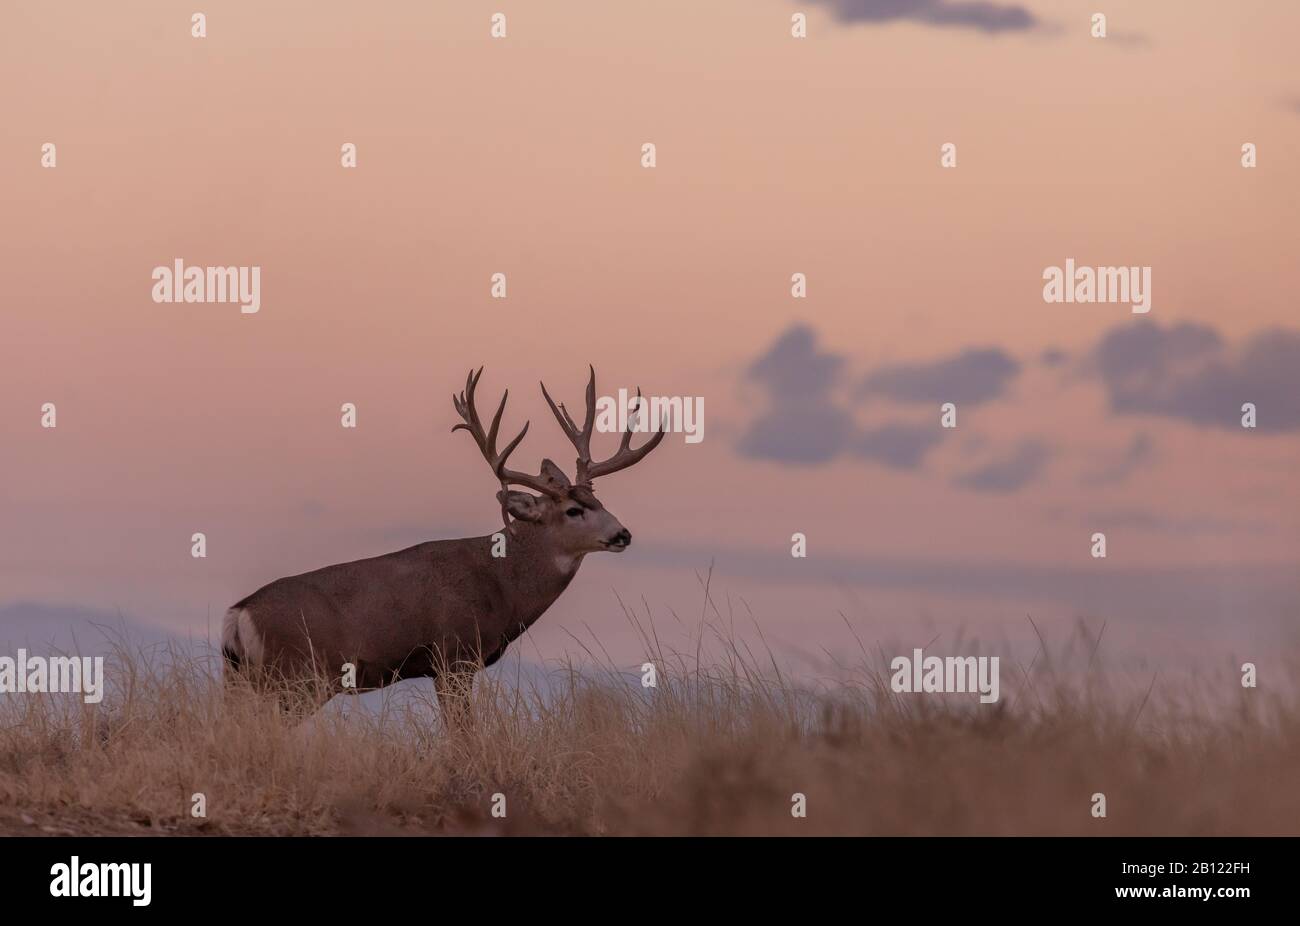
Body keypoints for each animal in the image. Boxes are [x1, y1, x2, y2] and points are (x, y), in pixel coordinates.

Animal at [220, 366, 665, 728]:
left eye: (598, 500)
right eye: (573, 510)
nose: (623, 534)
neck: (503, 583)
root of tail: (238, 614)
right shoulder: (455, 654)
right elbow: (462, 733)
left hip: (246, 678)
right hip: (296, 675)